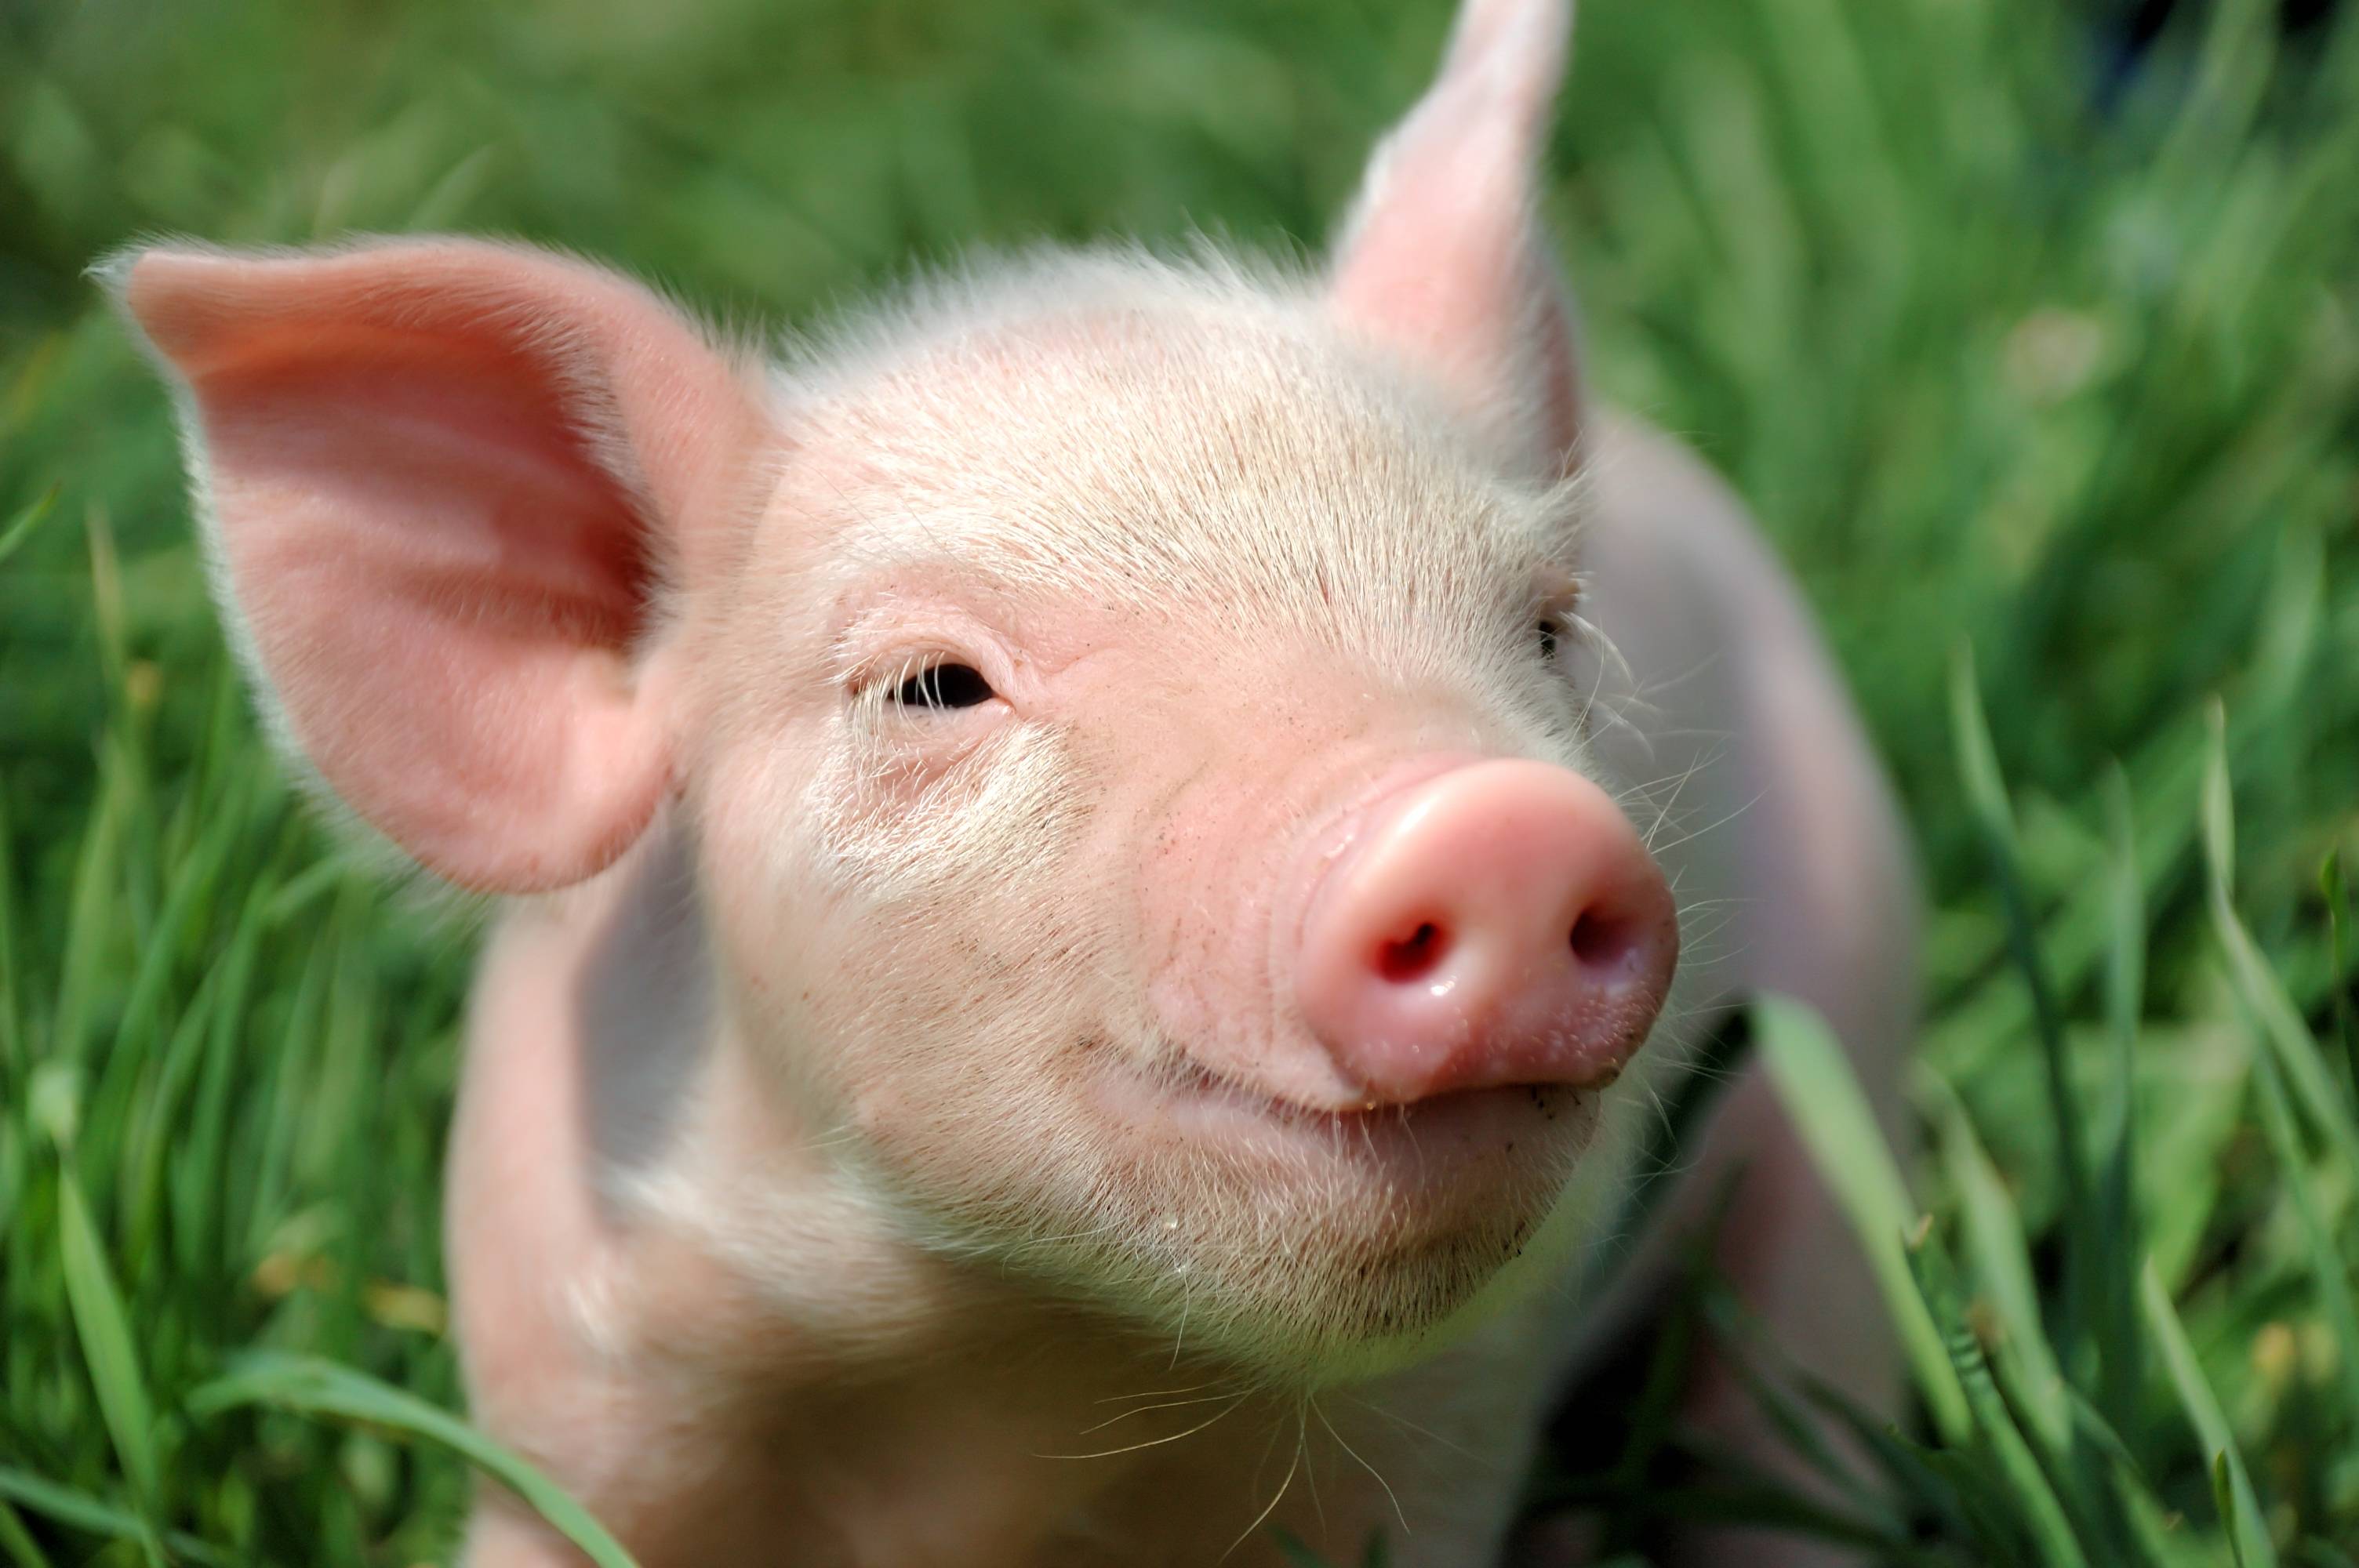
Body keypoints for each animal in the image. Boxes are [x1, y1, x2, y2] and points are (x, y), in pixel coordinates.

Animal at [106, 0, 1915, 1562]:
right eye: (934, 684)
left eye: (1544, 630)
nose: (1499, 825)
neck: (1013, 1359)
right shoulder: (562, 1365)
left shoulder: (1448, 1422)